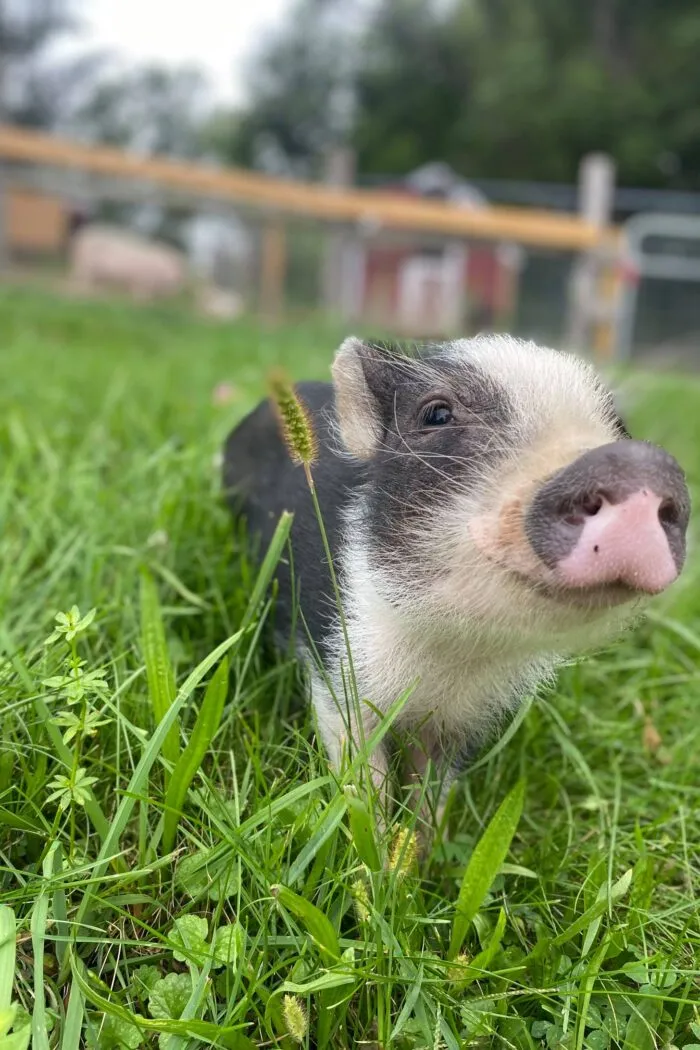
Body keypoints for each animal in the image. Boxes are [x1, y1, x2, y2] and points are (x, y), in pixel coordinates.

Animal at [222, 335, 690, 830]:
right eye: (437, 415)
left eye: (619, 425)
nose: (639, 463)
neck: (453, 651)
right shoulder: (336, 659)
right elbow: (363, 774)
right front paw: (374, 845)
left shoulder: (462, 719)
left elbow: (434, 790)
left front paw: (420, 849)